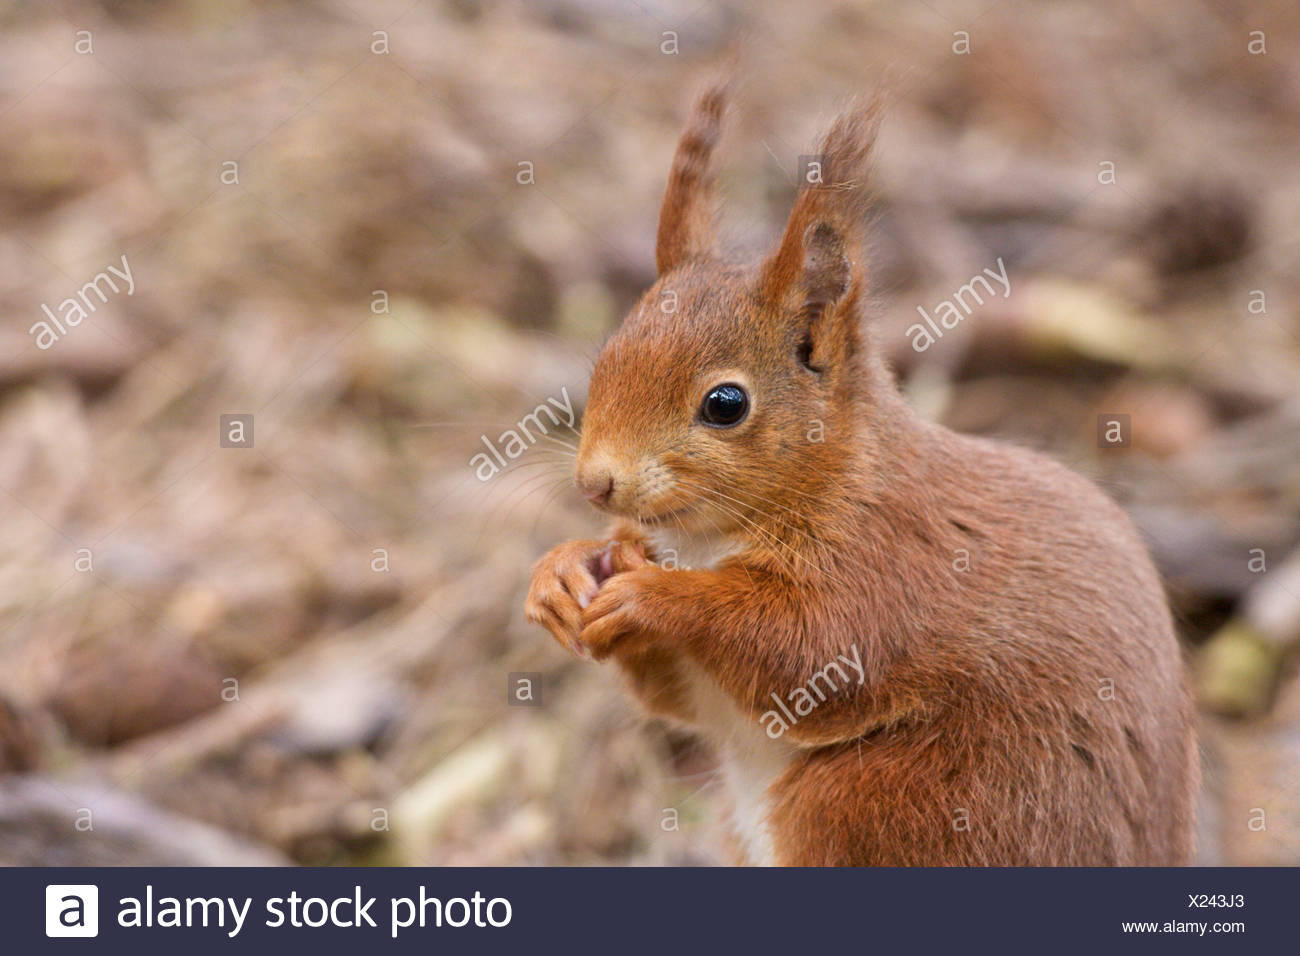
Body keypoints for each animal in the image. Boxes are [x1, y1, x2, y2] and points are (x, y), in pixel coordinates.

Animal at [525, 80, 1198, 866]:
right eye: (604, 358)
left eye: (725, 404)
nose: (594, 484)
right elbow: (672, 692)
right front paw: (562, 571)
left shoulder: (888, 564)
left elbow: (808, 644)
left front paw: (654, 596)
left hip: (890, 802)